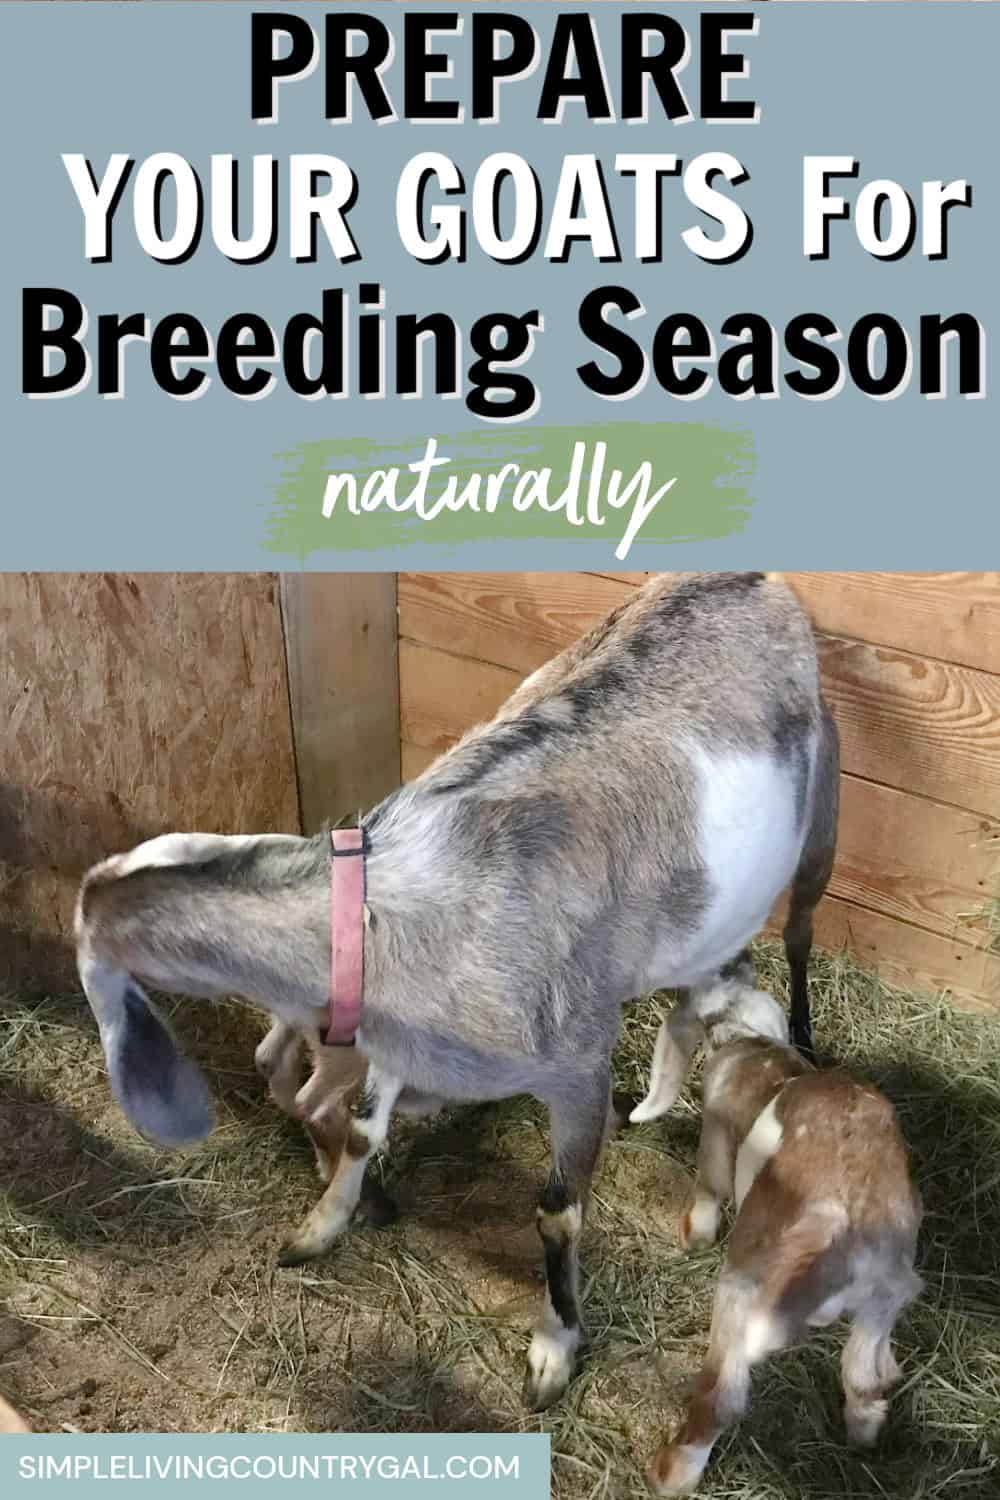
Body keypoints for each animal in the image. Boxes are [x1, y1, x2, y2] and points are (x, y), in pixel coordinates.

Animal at [74, 571, 839, 1410]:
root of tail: (756, 580)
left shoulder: (576, 1064)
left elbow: (558, 1212)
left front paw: (553, 1350)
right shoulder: (394, 1040)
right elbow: (363, 1127)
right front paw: (327, 1220)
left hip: (823, 815)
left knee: (801, 932)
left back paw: (804, 1042)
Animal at [648, 962, 922, 1494]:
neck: (749, 1039)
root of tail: (847, 1232)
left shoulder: (716, 1140)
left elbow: (709, 1188)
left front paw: (693, 1235)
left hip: (745, 1287)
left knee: (722, 1398)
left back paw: (670, 1473)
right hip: (884, 1300)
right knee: (867, 1376)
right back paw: (864, 1432)